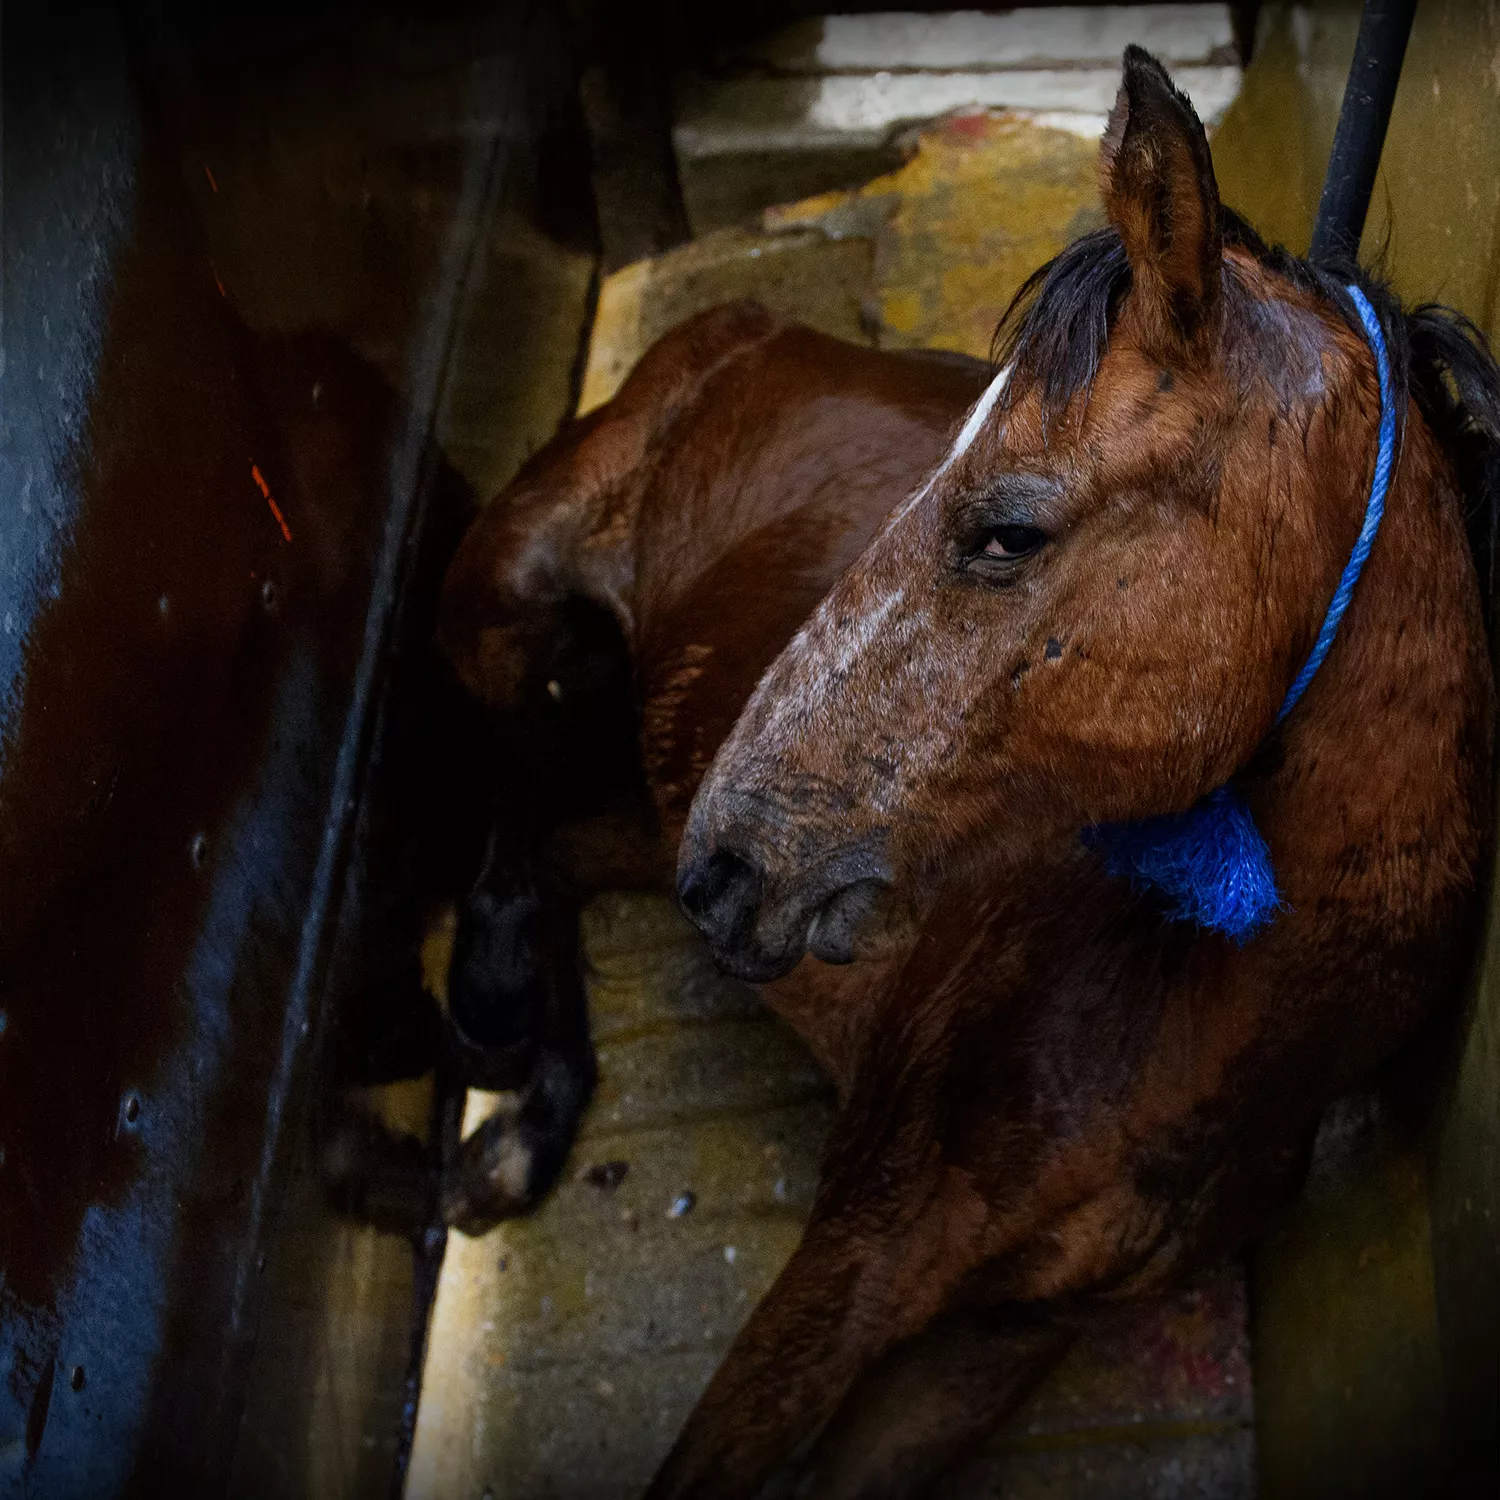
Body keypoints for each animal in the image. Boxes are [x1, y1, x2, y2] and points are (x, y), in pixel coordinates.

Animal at [434, 48, 1500, 1500]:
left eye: (1006, 531)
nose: (730, 861)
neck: (1192, 1031)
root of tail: (754, 326)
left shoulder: (997, 1346)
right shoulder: (853, 1262)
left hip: (643, 804)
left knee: (565, 834)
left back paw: (526, 1120)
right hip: (500, 603)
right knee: (508, 781)